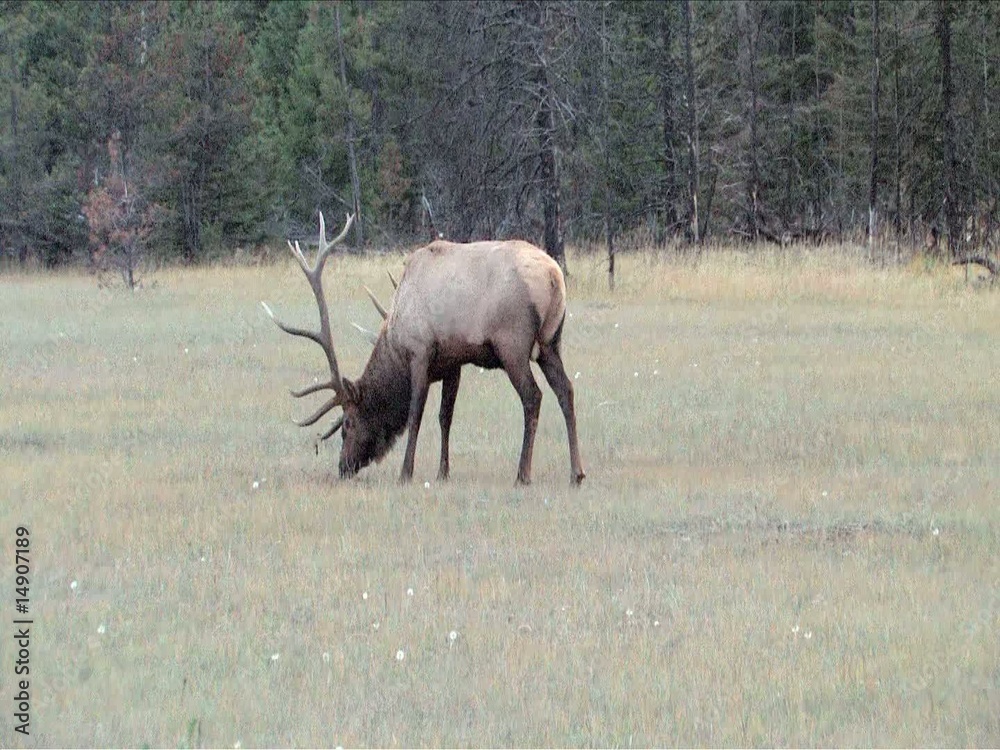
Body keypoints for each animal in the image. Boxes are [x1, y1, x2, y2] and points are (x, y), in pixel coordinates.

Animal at [261, 213, 586, 486]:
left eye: (348, 424)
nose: (344, 467)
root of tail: (554, 277)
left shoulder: (420, 352)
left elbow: (415, 413)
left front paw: (406, 472)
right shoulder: (454, 361)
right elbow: (445, 416)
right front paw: (443, 473)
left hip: (513, 344)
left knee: (533, 397)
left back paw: (522, 474)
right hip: (550, 343)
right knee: (566, 390)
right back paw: (576, 473)